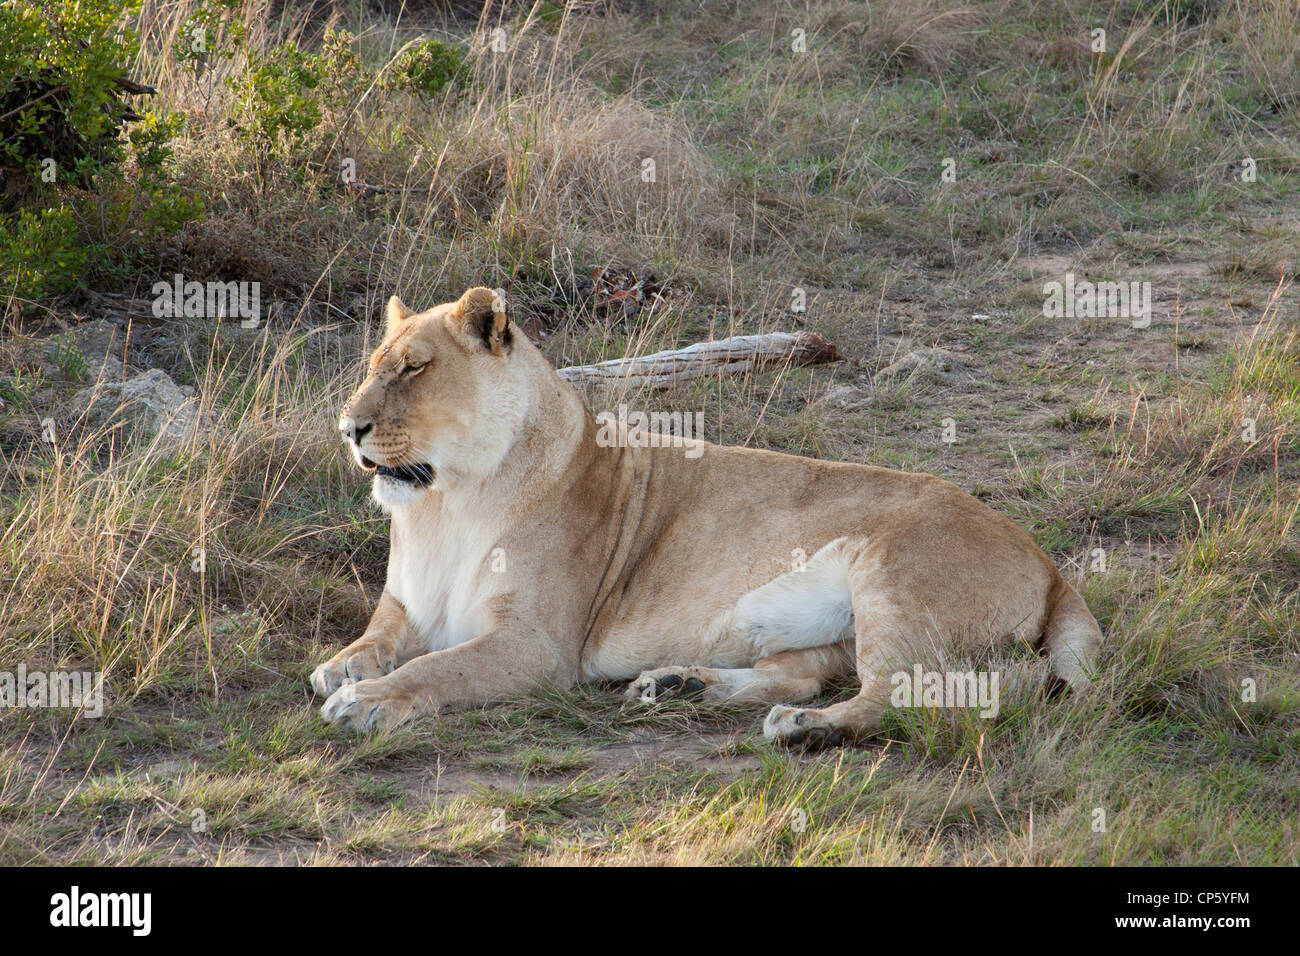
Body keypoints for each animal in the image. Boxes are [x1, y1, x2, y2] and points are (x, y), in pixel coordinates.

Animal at [311, 286, 1103, 747]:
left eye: (414, 368)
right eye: (375, 363)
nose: (349, 427)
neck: (447, 502)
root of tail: (1047, 561)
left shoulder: (538, 645)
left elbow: (441, 667)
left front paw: (367, 700)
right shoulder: (406, 601)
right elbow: (380, 635)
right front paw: (344, 667)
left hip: (894, 578)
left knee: (906, 698)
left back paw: (802, 731)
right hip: (825, 624)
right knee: (803, 673)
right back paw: (678, 686)